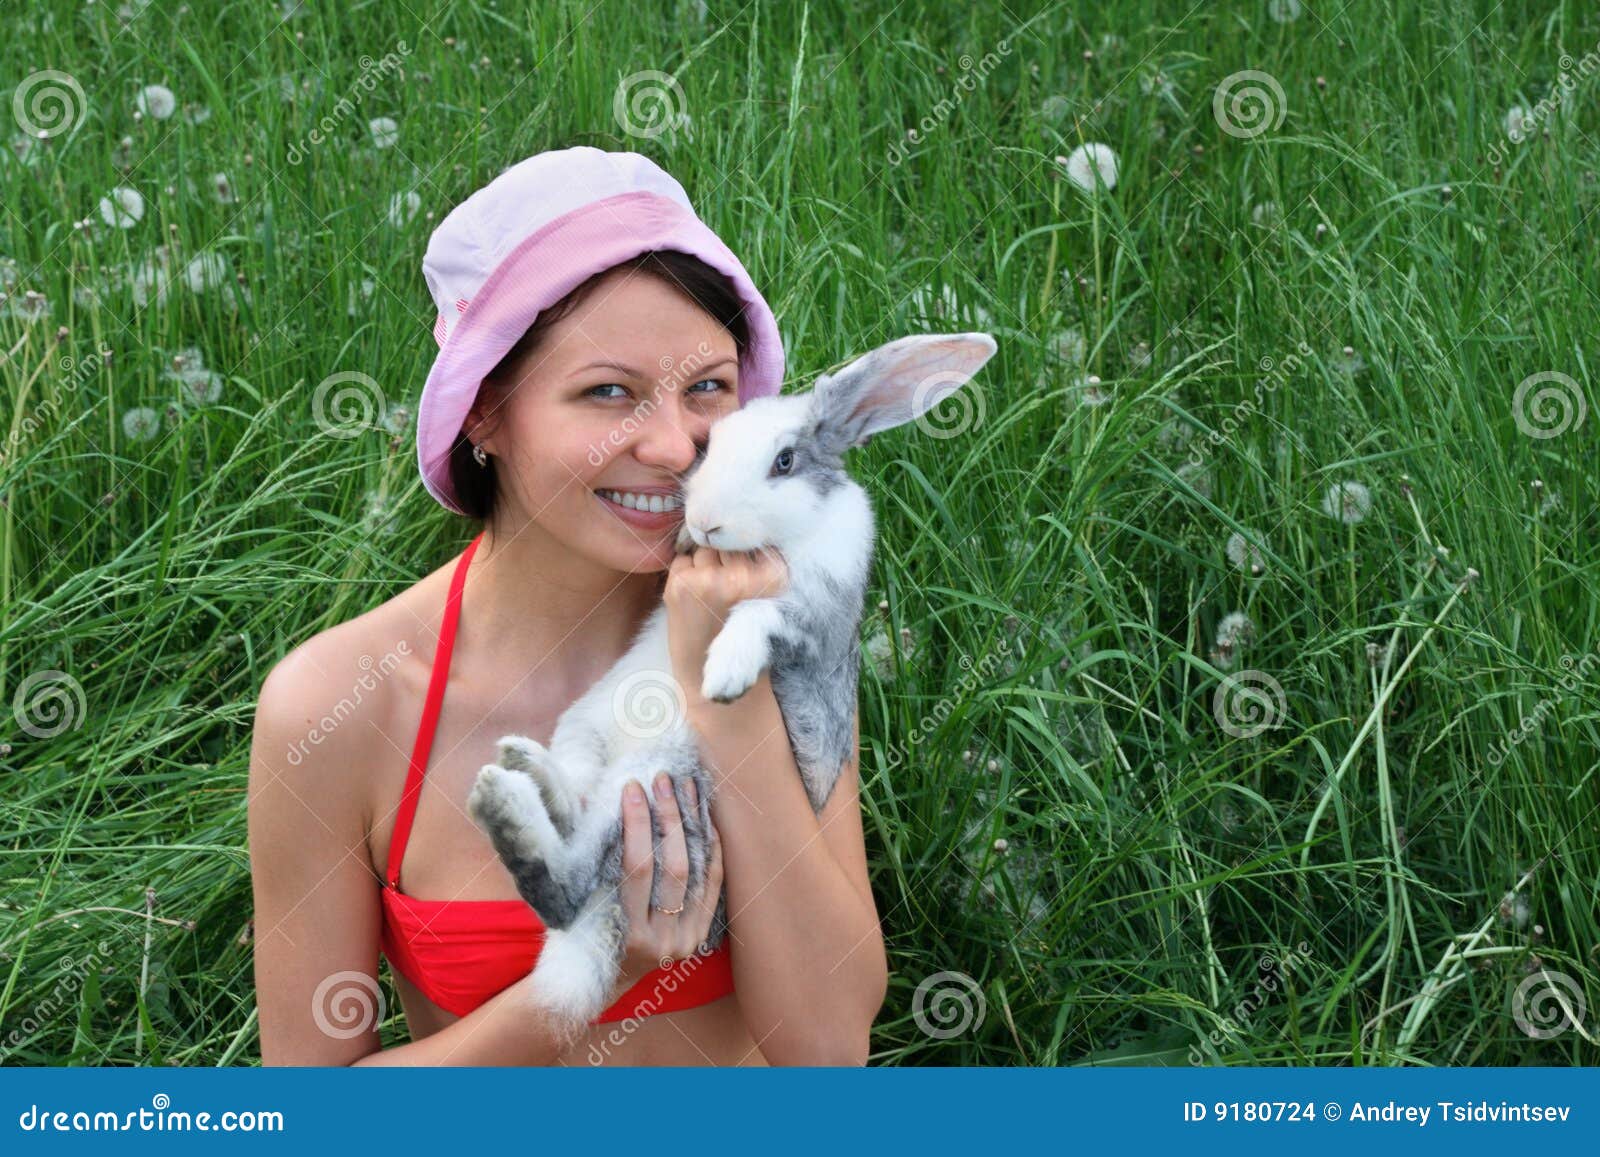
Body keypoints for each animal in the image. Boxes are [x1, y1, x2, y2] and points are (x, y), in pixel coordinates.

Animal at [466, 331, 999, 1040]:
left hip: (661, 782)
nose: (707, 522)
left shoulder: (813, 624)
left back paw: (505, 802)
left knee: (567, 885)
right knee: (573, 809)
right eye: (708, 447)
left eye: (785, 461)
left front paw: (723, 674)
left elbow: (760, 615)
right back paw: (523, 765)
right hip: (594, 736)